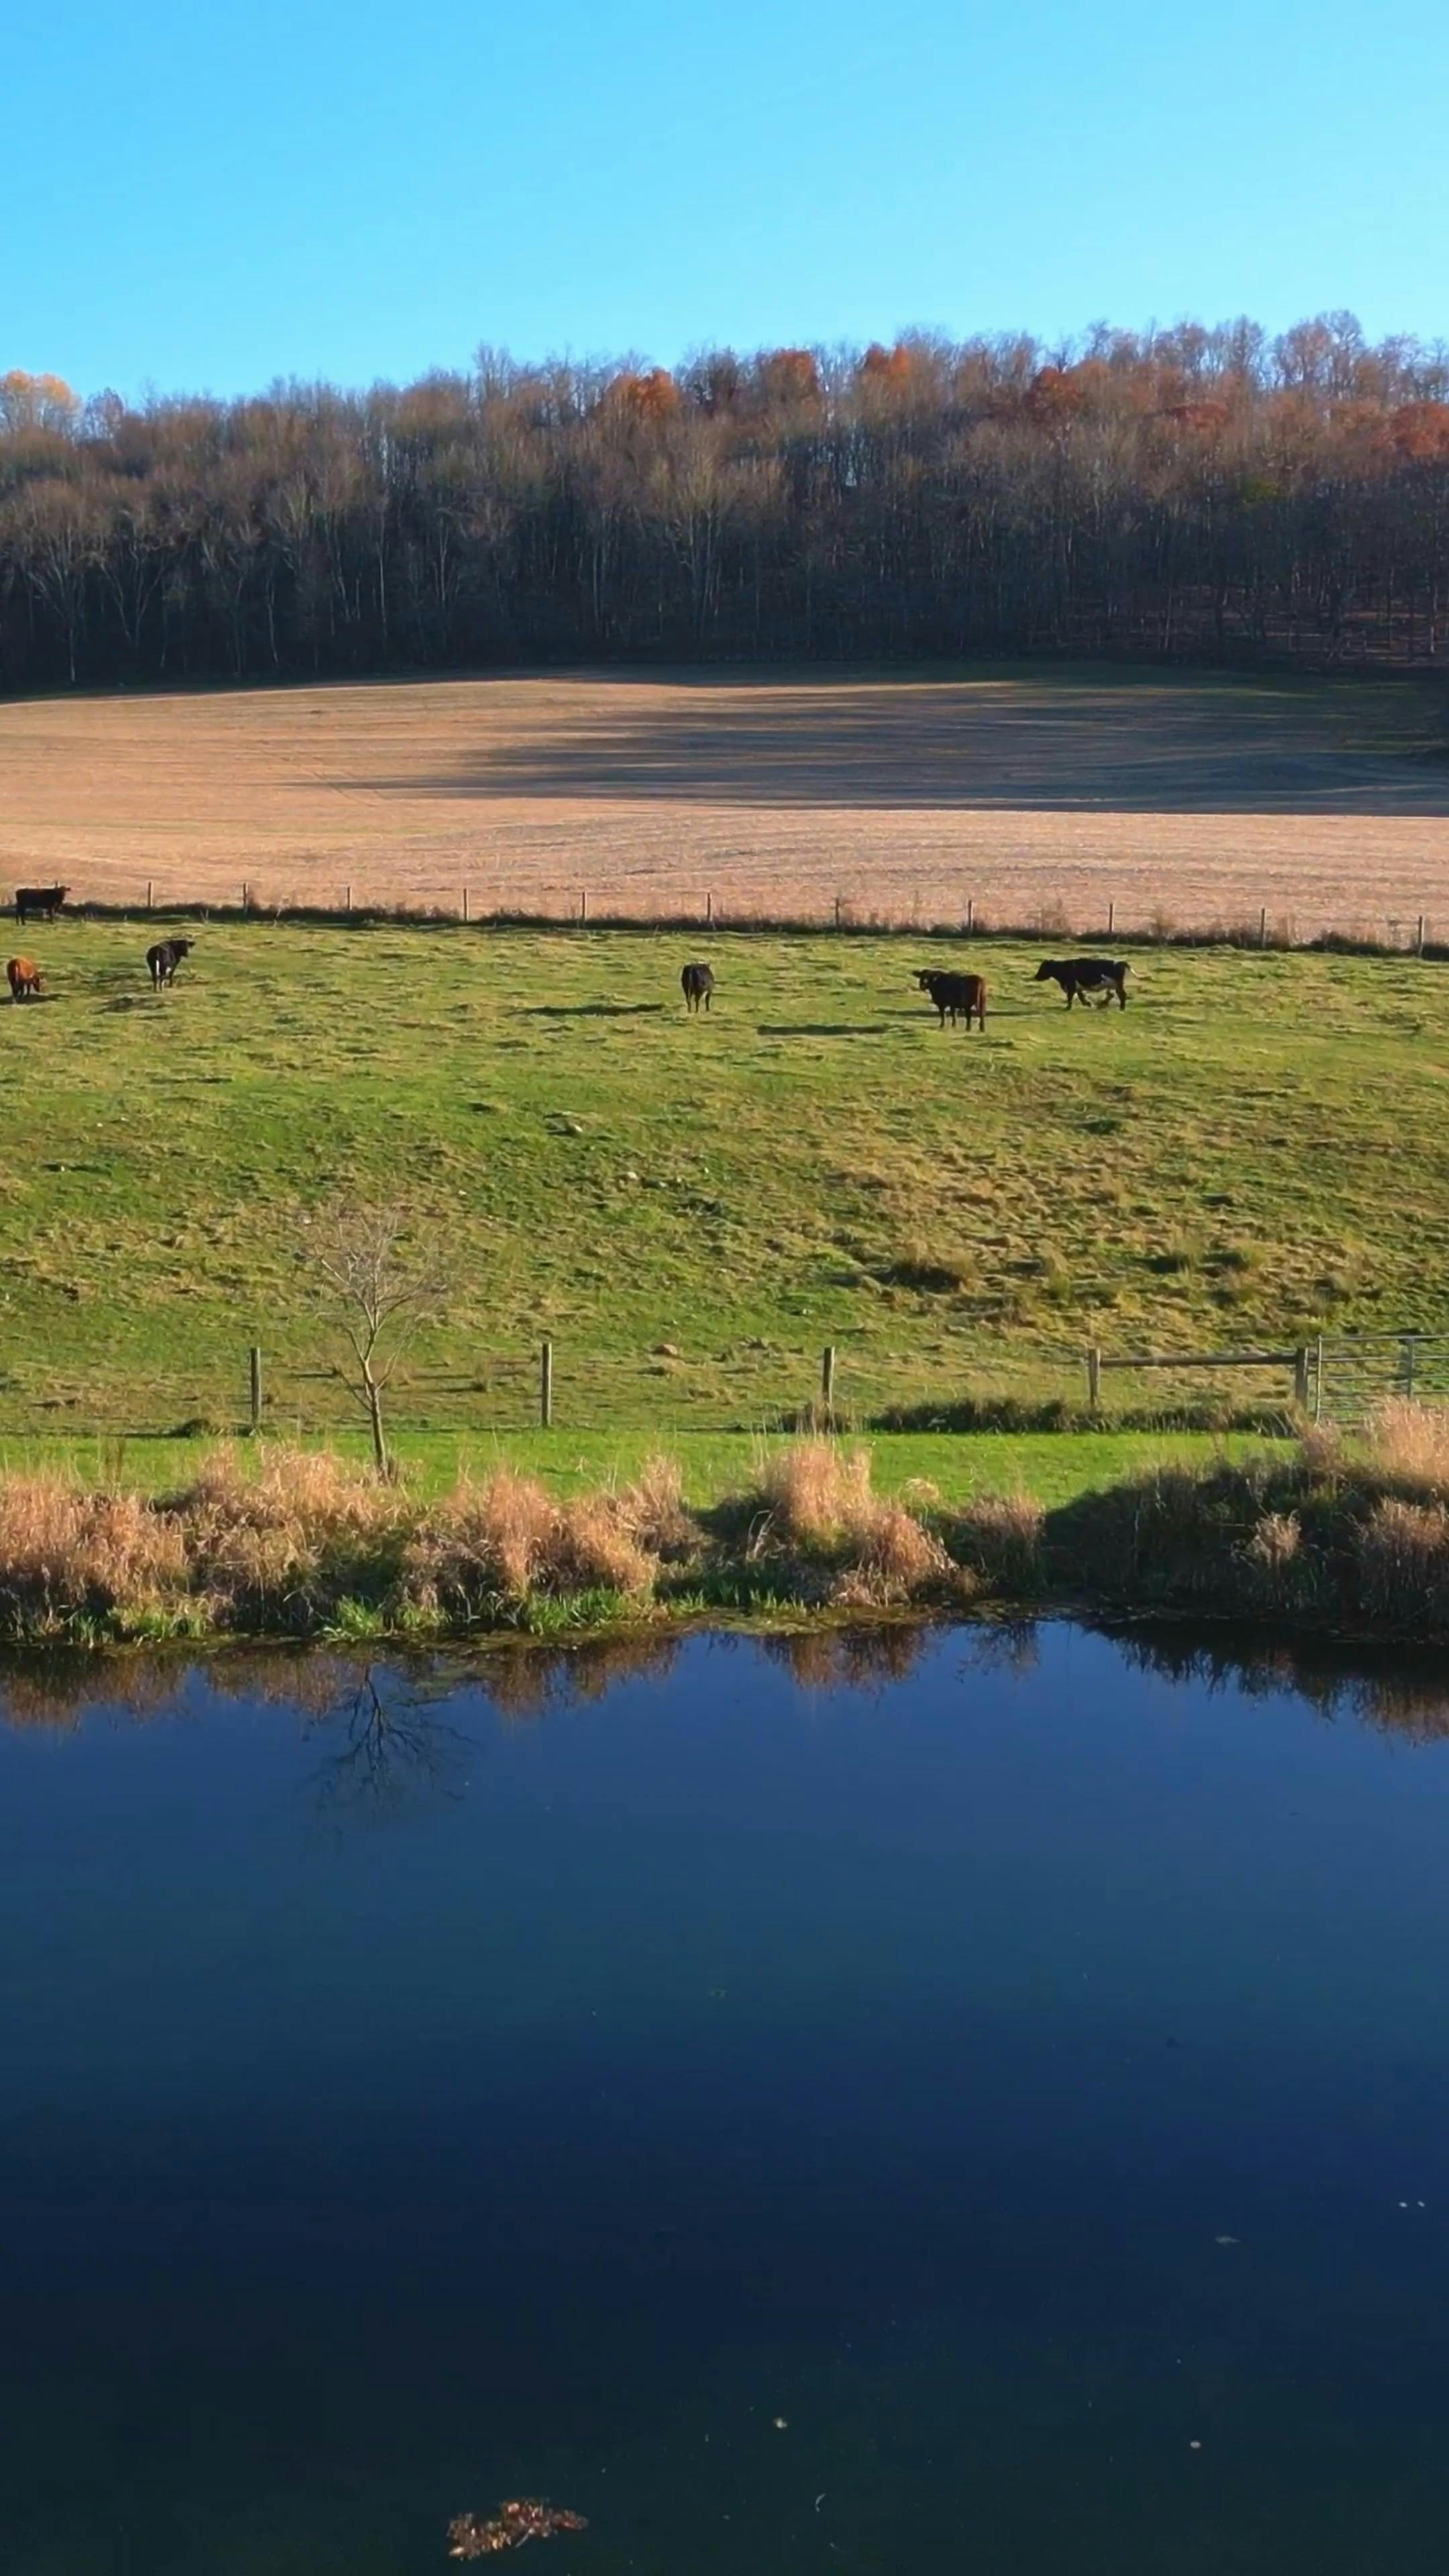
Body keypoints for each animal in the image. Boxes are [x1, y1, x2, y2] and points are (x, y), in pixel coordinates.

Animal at [1034, 957, 1130, 1010]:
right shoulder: (1077, 987)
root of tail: (1120, 962)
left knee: (1122, 995)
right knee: (1114, 995)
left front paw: (1068, 1008)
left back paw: (1122, 1008)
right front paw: (1088, 1004)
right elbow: (1080, 996)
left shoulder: (1071, 986)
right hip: (1115, 986)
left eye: (1044, 967)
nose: (1036, 977)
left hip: (1118, 985)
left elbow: (1070, 997)